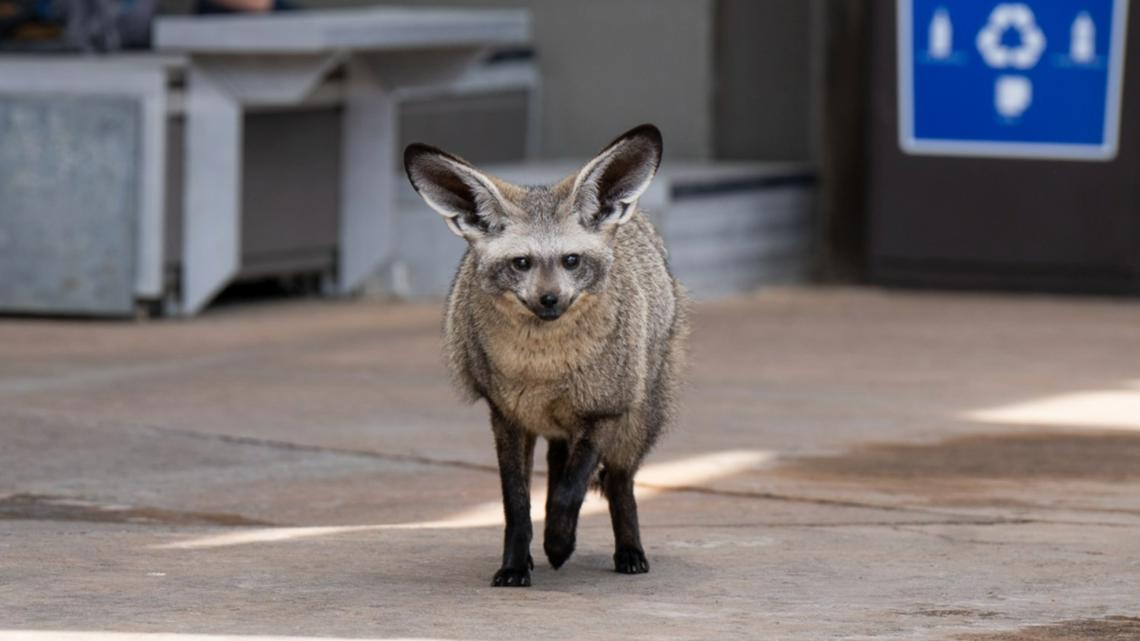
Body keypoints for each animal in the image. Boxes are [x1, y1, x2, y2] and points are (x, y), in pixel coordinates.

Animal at [403, 124, 687, 587]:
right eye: (521, 263)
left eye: (571, 260)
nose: (549, 300)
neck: (544, 372)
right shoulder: (507, 417)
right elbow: (518, 503)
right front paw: (516, 565)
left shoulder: (602, 412)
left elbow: (570, 494)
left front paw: (558, 543)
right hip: (555, 427)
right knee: (557, 470)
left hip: (638, 418)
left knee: (619, 482)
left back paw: (629, 551)